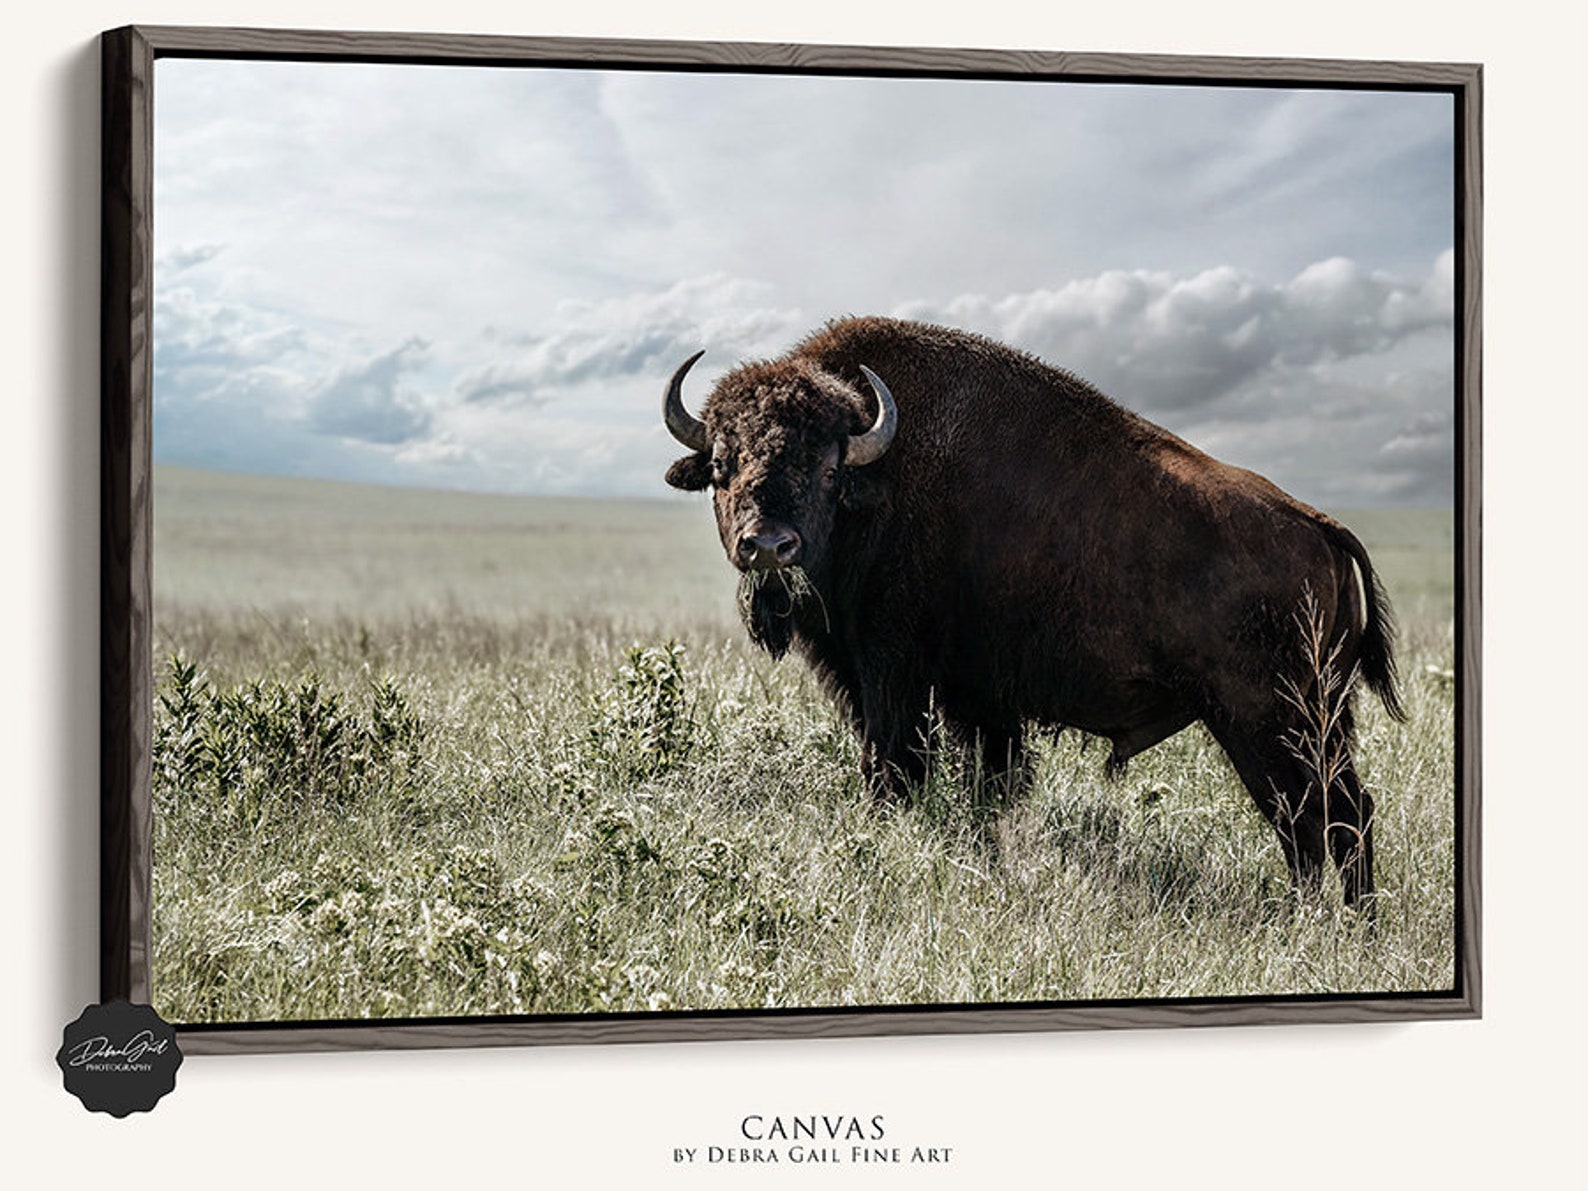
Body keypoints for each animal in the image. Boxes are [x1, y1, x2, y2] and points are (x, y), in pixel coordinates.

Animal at [662, 316, 1404, 907]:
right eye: (722, 464)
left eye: (826, 467)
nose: (768, 544)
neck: (880, 478)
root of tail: (1318, 526)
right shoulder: (972, 701)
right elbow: (987, 783)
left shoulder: (893, 674)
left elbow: (894, 769)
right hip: (1317, 718)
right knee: (1333, 815)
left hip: (1267, 721)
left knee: (1315, 814)